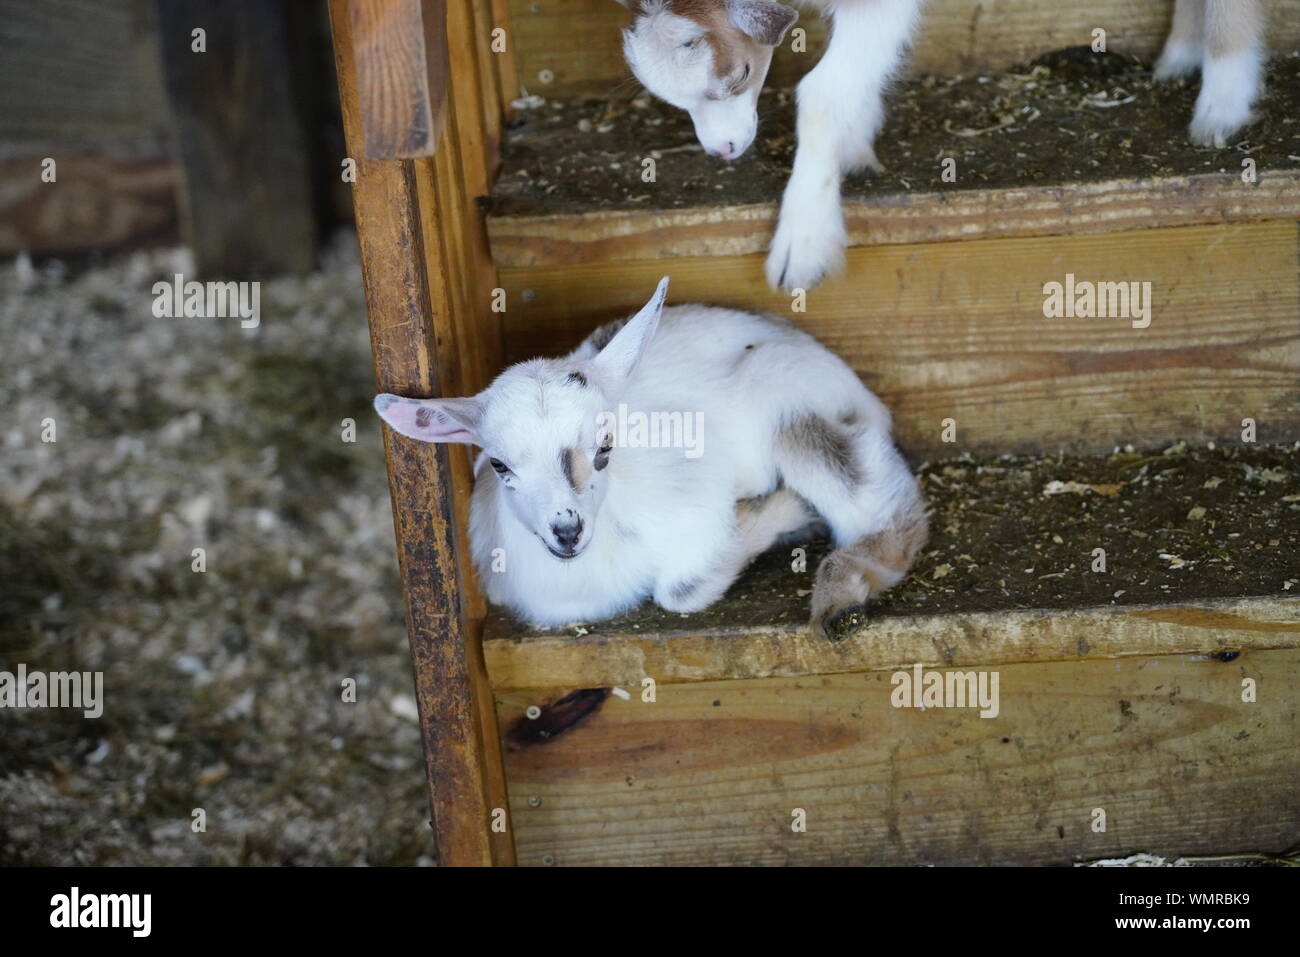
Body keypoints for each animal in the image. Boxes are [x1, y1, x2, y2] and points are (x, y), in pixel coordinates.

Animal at [374, 278, 928, 640]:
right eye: (499, 464)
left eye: (605, 447)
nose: (567, 531)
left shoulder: (699, 508)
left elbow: (679, 589)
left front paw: (783, 512)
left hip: (790, 405)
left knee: (881, 504)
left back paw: (838, 602)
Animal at [617, 0, 1267, 292]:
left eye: (740, 75)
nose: (723, 150)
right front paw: (858, 143)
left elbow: (822, 91)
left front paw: (803, 241)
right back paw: (1180, 58)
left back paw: (1222, 102)